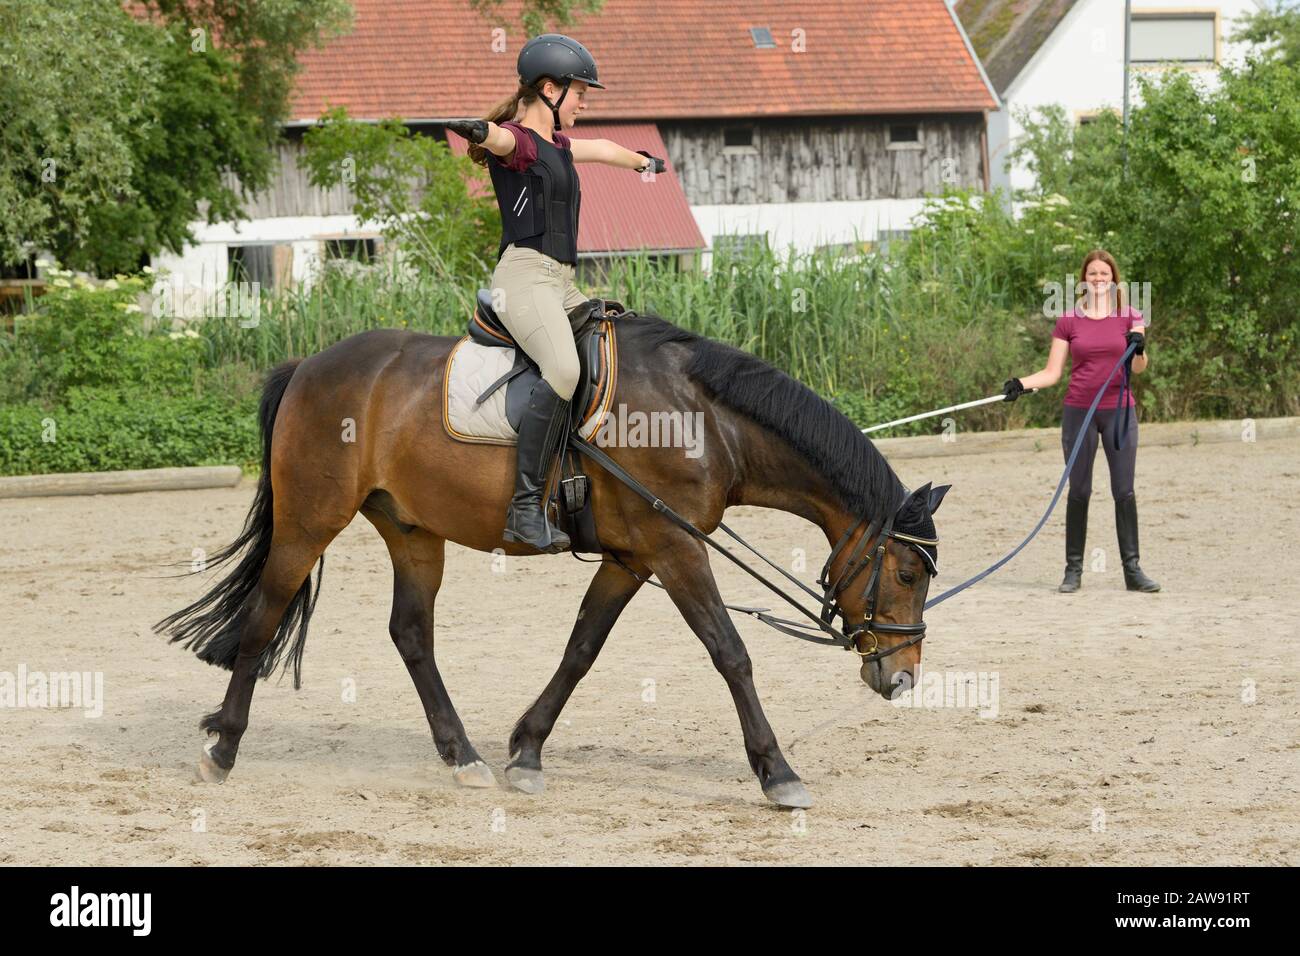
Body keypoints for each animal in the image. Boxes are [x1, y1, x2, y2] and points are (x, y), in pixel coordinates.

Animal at [155, 312, 950, 808]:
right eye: (907, 574)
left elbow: (581, 649)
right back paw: (222, 751)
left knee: (411, 635)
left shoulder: (633, 556)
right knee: (264, 617)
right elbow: (730, 653)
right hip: (310, 521)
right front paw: (778, 774)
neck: (702, 418)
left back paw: (464, 758)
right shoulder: (676, 549)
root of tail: (309, 365)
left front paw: (526, 752)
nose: (902, 679)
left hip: (413, 532)